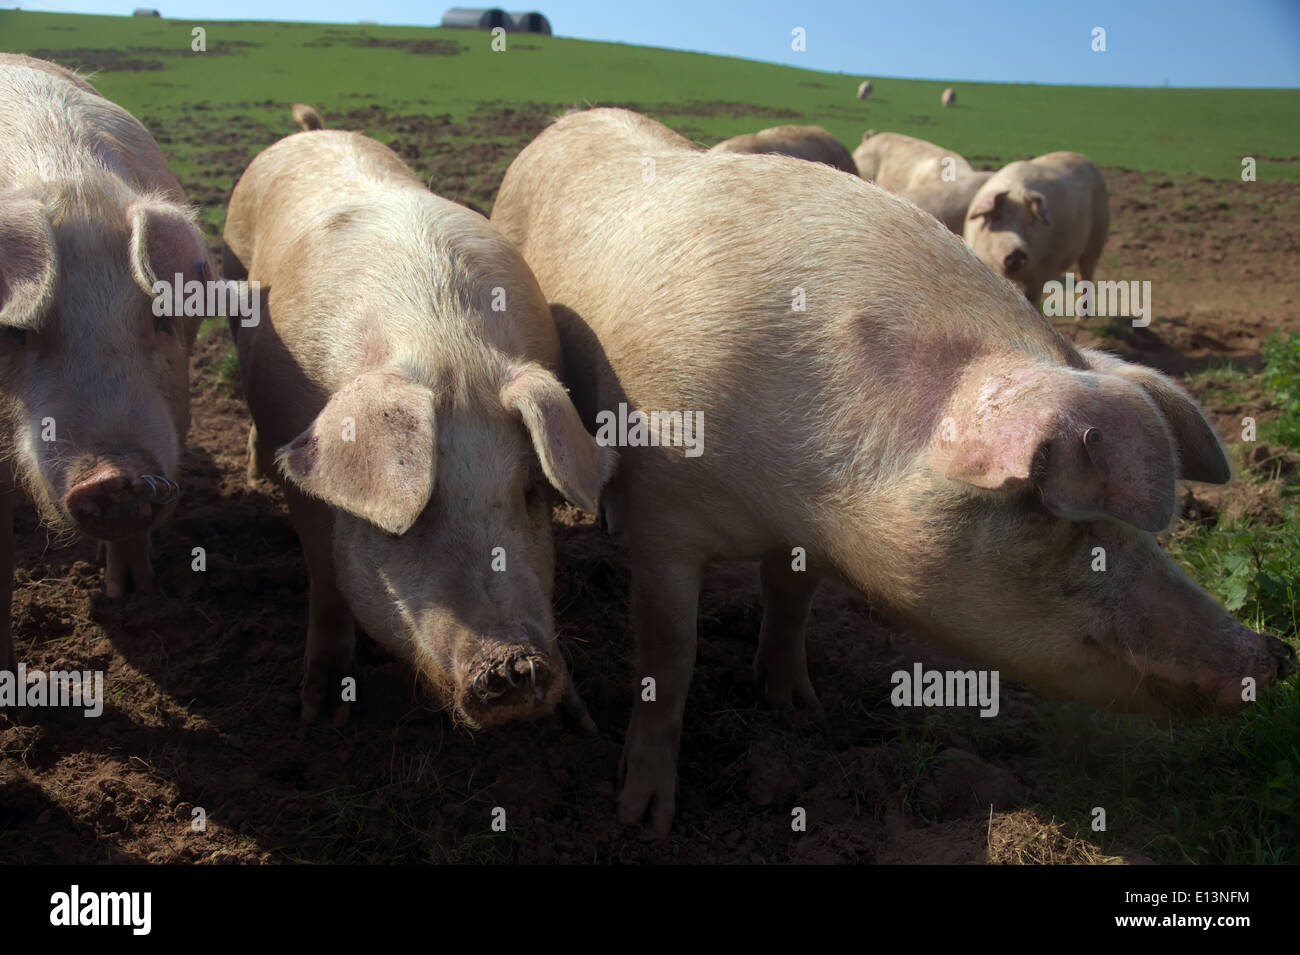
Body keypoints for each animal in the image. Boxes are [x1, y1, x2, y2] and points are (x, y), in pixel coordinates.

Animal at [221, 123, 616, 728]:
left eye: (530, 492)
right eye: (412, 517)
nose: (514, 664)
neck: (447, 346)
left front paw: (582, 719)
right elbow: (327, 579)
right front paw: (321, 714)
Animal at [963, 152, 1109, 305]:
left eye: (1031, 221)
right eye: (995, 218)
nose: (1016, 252)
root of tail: (1083, 157)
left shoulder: (1042, 270)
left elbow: (1032, 297)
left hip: (1098, 234)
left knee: (1087, 273)